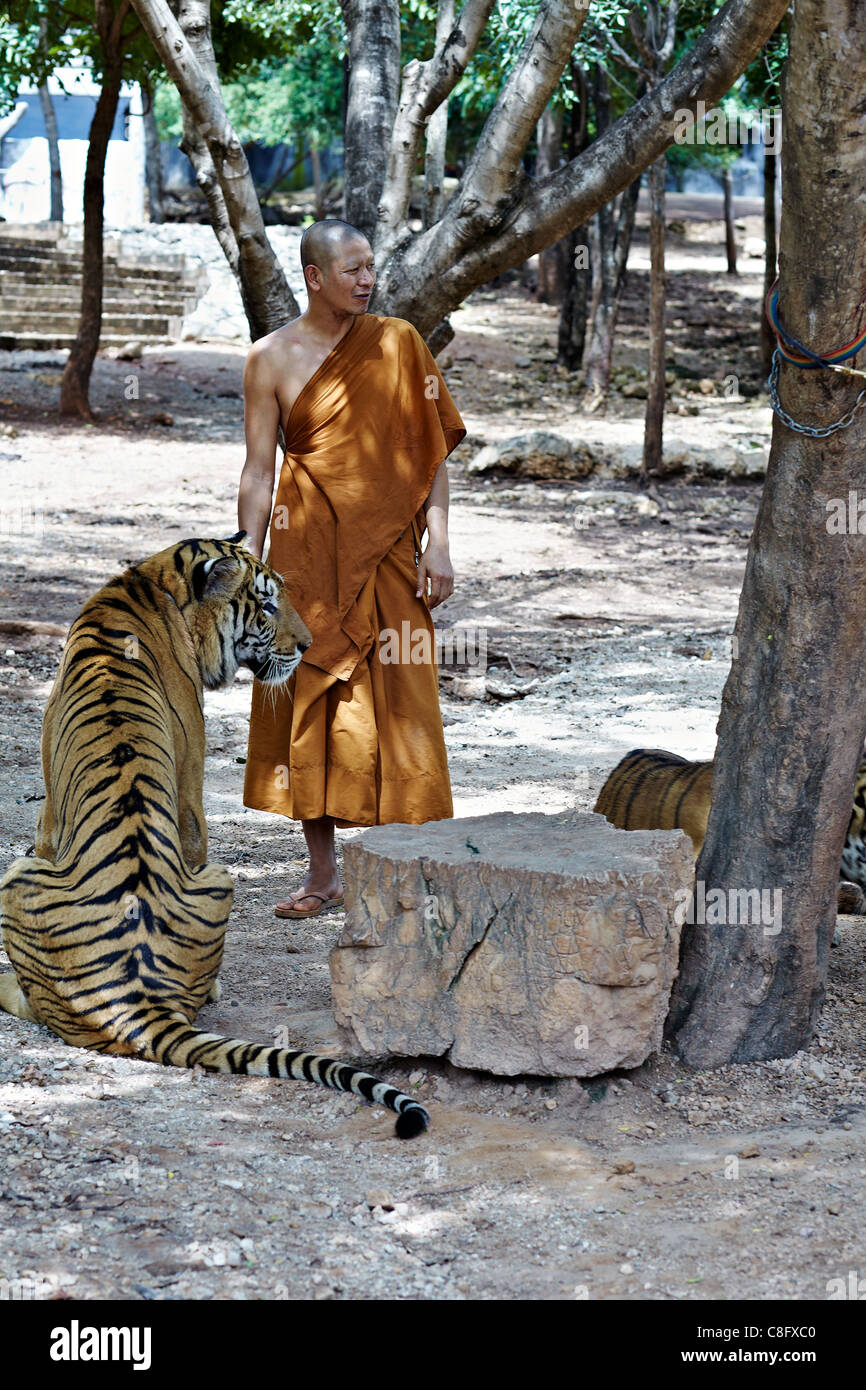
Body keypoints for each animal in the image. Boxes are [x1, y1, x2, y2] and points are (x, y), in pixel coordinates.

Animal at [0, 534, 428, 1140]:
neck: (148, 583)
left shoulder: (66, 818)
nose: (308, 645)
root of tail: (138, 1000)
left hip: (35, 874)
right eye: (267, 605)